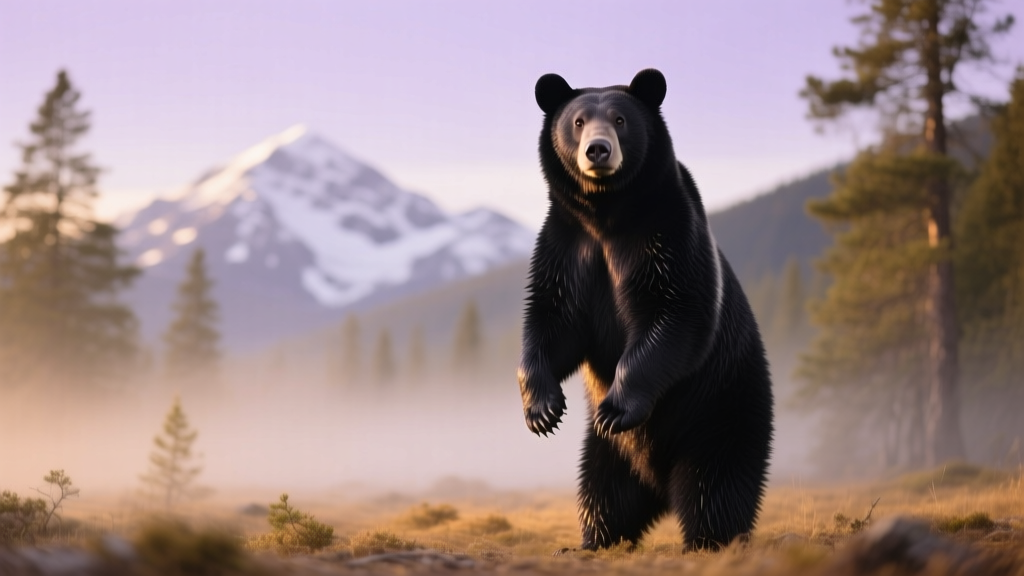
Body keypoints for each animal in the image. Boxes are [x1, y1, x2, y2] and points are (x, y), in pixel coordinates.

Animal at [517, 69, 774, 552]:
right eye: (578, 121)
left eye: (620, 120)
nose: (597, 150)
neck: (606, 218)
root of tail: (658, 485)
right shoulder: (568, 247)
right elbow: (552, 320)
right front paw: (542, 410)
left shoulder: (666, 238)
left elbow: (675, 315)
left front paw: (616, 407)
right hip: (610, 454)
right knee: (602, 488)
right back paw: (592, 540)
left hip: (721, 410)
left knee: (716, 484)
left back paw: (708, 540)